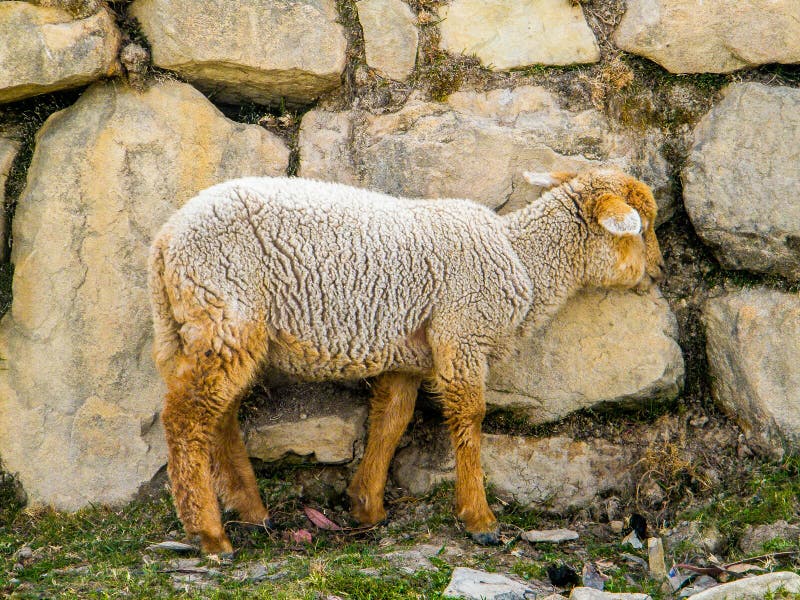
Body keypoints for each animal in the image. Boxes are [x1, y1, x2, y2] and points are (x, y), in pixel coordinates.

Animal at [147, 168, 664, 555]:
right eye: (642, 226)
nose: (660, 270)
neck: (523, 262)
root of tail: (166, 241)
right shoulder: (462, 333)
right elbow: (469, 419)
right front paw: (479, 519)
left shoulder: (409, 356)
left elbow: (391, 421)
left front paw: (367, 505)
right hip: (225, 311)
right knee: (186, 418)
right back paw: (209, 533)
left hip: (208, 329)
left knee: (219, 416)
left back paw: (252, 513)